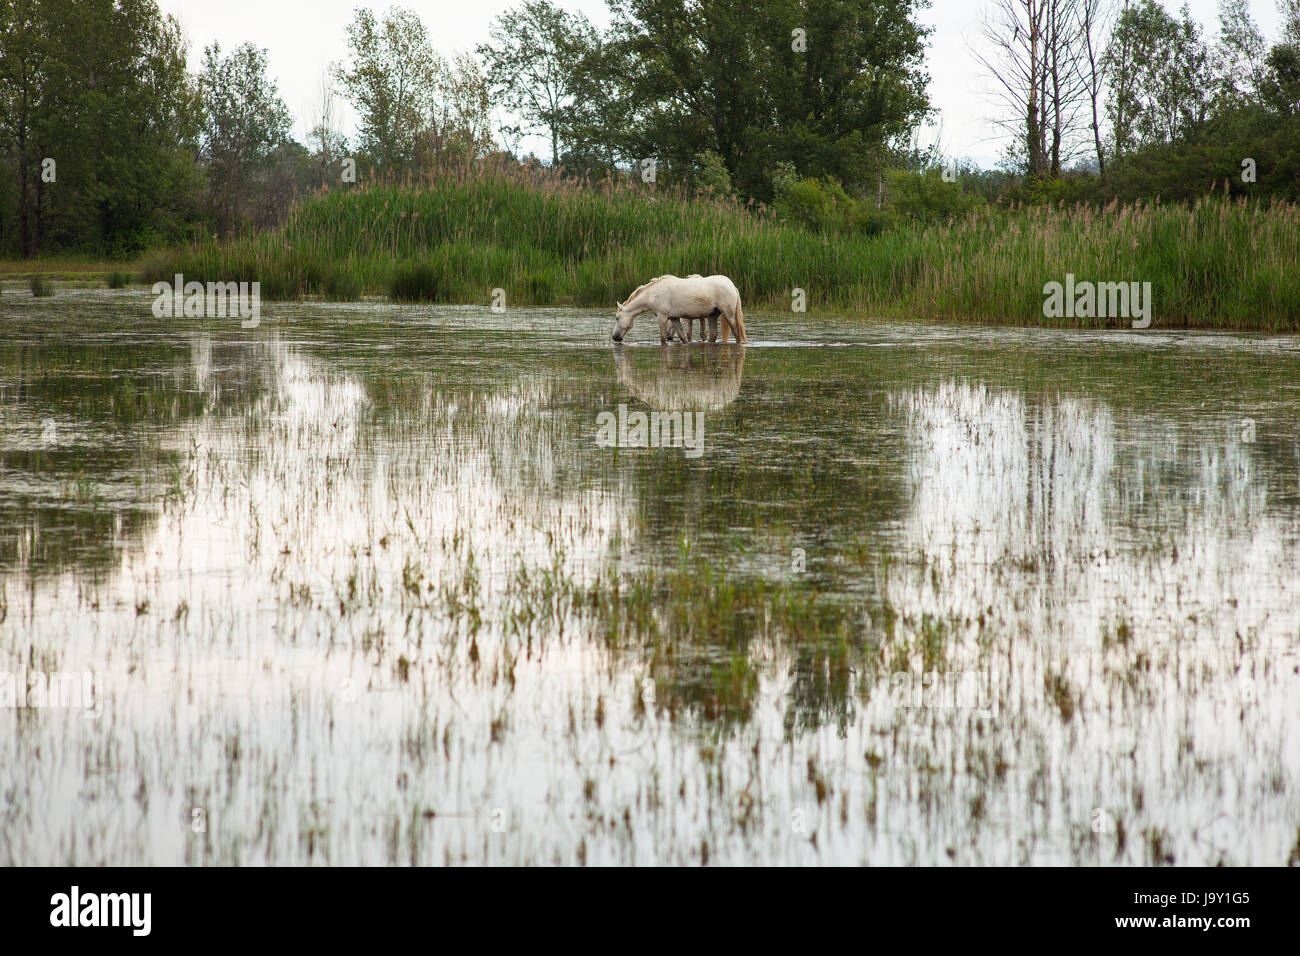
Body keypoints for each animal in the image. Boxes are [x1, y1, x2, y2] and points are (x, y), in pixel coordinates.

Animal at [612, 274, 748, 345]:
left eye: (617, 318)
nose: (614, 337)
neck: (653, 293)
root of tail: (732, 285)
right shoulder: (674, 318)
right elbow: (683, 337)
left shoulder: (662, 317)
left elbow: (663, 337)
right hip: (712, 315)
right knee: (713, 335)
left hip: (729, 314)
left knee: (736, 332)